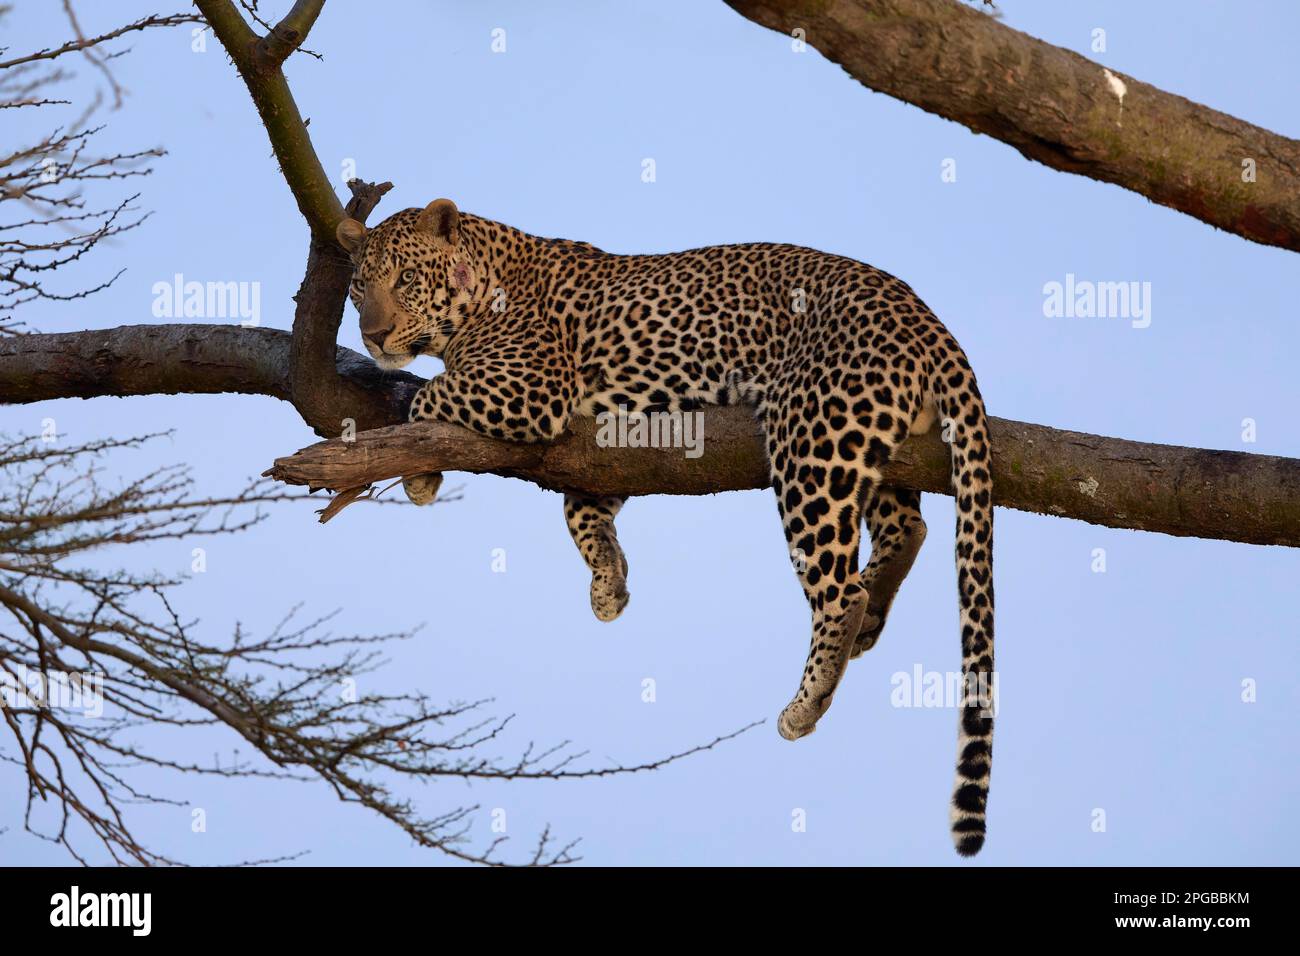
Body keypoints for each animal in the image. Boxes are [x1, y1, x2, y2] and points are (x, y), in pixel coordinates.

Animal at [337, 200, 996, 856]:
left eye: (406, 278)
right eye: (360, 286)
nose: (372, 335)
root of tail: (922, 314)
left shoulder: (531, 388)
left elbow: (426, 397)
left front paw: (420, 474)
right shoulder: (603, 447)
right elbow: (580, 509)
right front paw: (610, 584)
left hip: (815, 443)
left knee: (839, 589)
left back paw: (809, 700)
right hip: (881, 447)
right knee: (910, 527)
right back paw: (873, 616)